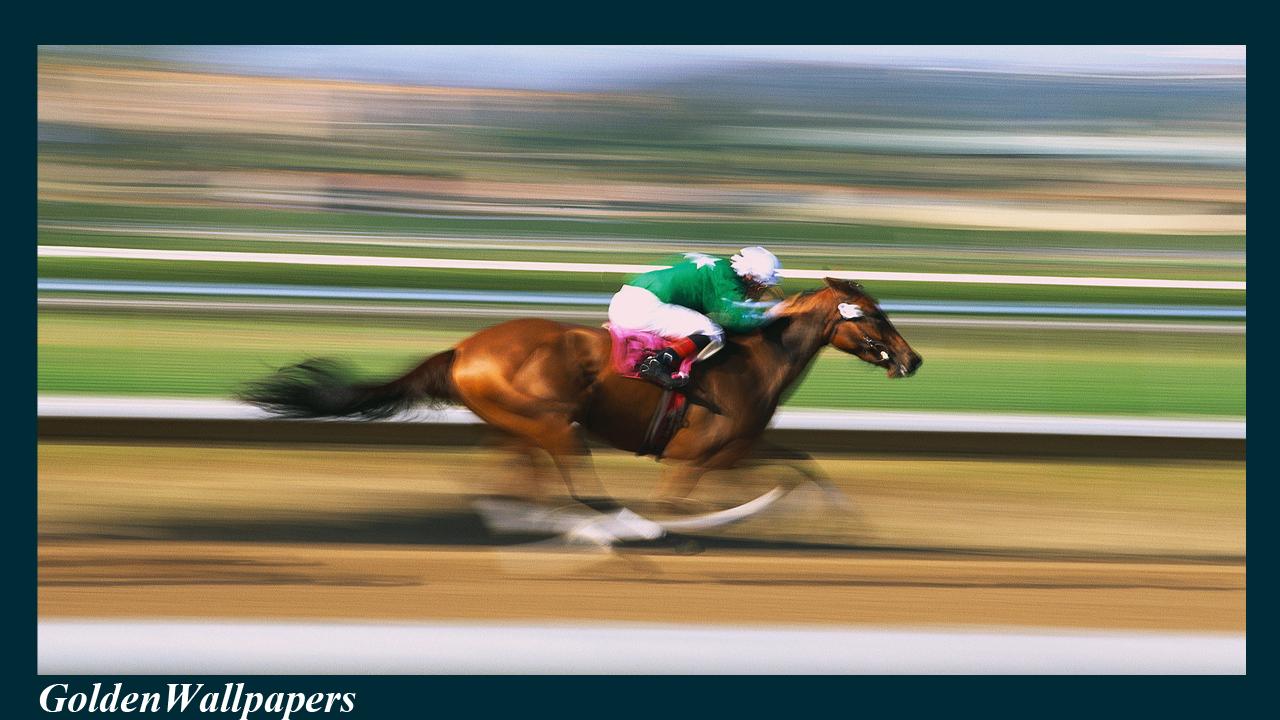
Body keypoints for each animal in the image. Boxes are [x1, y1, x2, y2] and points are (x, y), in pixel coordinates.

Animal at [243, 277, 922, 538]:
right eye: (875, 316)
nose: (912, 360)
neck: (756, 359)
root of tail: (463, 347)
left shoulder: (742, 445)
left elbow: (805, 460)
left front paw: (841, 517)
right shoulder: (707, 455)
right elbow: (685, 503)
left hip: (516, 426)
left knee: (507, 476)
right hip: (553, 423)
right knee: (572, 487)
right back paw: (600, 526)